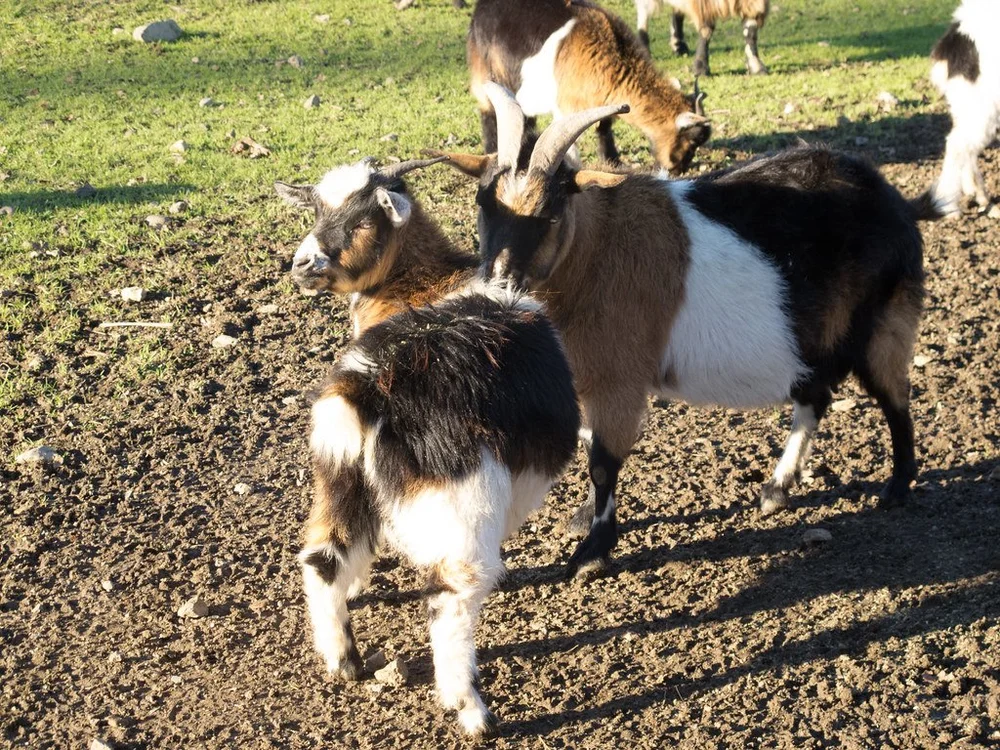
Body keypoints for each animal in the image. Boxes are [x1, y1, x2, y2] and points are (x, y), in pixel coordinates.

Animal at [276, 159, 581, 736]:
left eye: (360, 218)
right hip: (461, 496)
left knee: (322, 557)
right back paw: (471, 708)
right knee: (450, 595)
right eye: (317, 211)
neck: (425, 284)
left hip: (338, 474)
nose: (302, 266)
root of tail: (368, 388)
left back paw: (344, 661)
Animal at [436, 83, 929, 579]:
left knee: (894, 398)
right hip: (810, 336)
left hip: (882, 324)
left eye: (551, 214)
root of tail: (894, 200)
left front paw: (593, 552)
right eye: (483, 204)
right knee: (816, 397)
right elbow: (591, 445)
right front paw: (582, 519)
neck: (595, 250)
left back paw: (897, 487)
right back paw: (776, 489)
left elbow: (603, 462)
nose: (500, 280)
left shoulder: (620, 378)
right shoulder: (589, 378)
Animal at [468, 0, 710, 175]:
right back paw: (492, 150)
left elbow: (604, 126)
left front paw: (613, 161)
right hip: (488, 71)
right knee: (488, 111)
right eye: (693, 141)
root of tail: (481, 8)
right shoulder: (566, 105)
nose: (678, 169)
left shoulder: (604, 98)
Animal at [636, 0, 770, 76]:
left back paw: (679, 45)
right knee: (644, 10)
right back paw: (643, 46)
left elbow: (751, 27)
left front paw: (757, 66)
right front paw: (700, 68)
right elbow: (707, 26)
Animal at [924, 0, 1000, 216]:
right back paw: (947, 205)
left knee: (964, 141)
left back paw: (978, 194)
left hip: (969, 102)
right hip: (983, 104)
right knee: (957, 143)